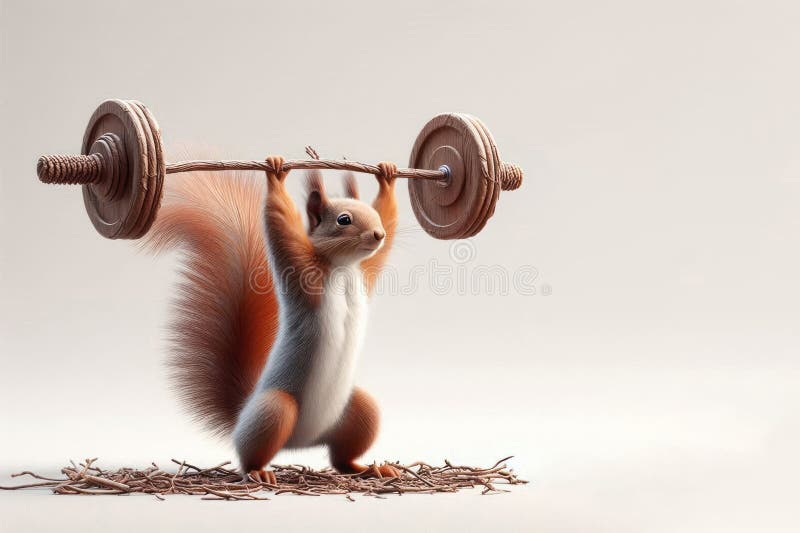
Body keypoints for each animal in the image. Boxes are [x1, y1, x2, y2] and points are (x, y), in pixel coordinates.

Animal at [143, 154, 400, 482]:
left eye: (373, 214)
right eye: (344, 220)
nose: (377, 235)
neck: (343, 266)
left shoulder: (365, 271)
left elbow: (387, 235)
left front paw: (388, 178)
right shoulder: (300, 266)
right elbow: (282, 225)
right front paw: (277, 174)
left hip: (358, 413)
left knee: (341, 457)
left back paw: (368, 468)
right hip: (274, 410)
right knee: (252, 452)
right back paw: (259, 472)